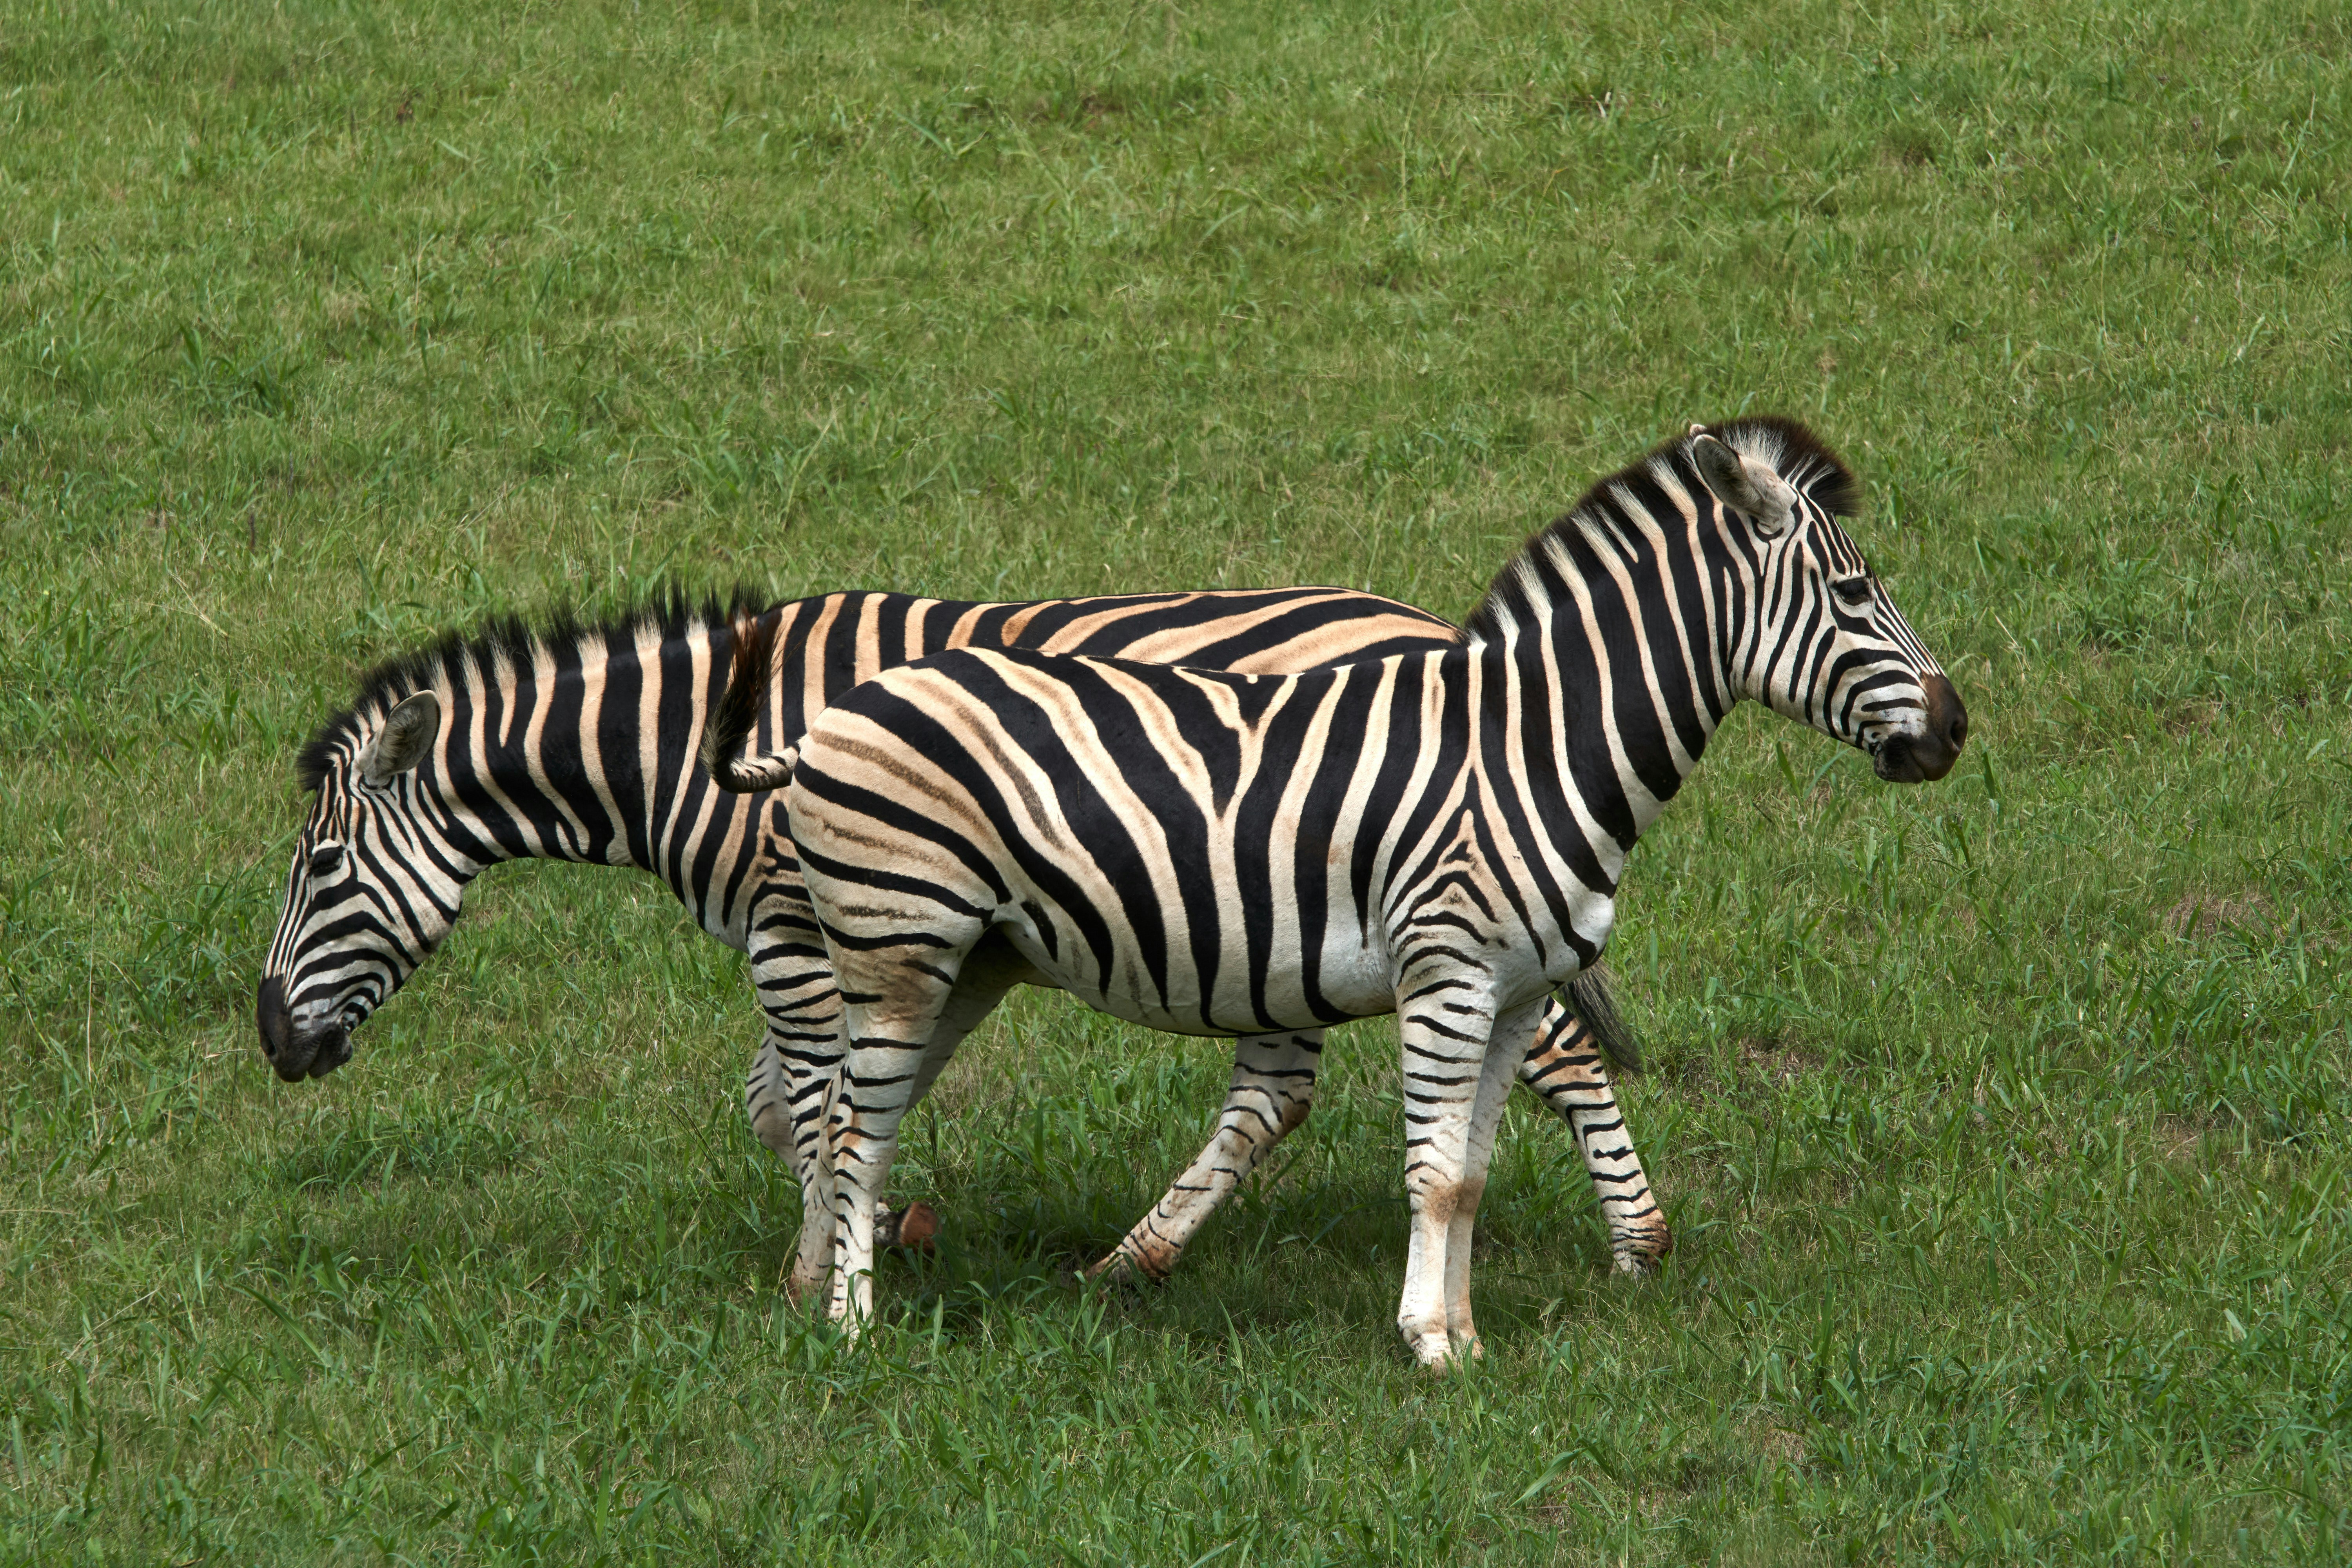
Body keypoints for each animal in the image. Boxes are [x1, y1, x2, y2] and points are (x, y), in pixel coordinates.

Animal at [256, 586, 1671, 1300]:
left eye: (319, 871)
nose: (272, 1042)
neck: (695, 745)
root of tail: (1443, 632)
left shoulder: (794, 929)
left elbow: (803, 1101)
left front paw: (839, 1254)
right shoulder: (909, 934)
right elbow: (805, 1102)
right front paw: (872, 1230)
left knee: (1552, 1054)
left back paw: (1637, 1248)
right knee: (1281, 1091)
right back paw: (1140, 1257)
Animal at [702, 417, 1967, 1366]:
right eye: (1855, 591)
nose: (1955, 727)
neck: (1534, 745)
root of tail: (824, 717)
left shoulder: (1511, 993)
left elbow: (1468, 1175)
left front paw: (1464, 1336)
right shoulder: (1449, 976)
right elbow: (1432, 1169)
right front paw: (1426, 1341)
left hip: (955, 957)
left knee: (841, 1113)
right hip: (896, 949)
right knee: (852, 1123)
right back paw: (851, 1324)